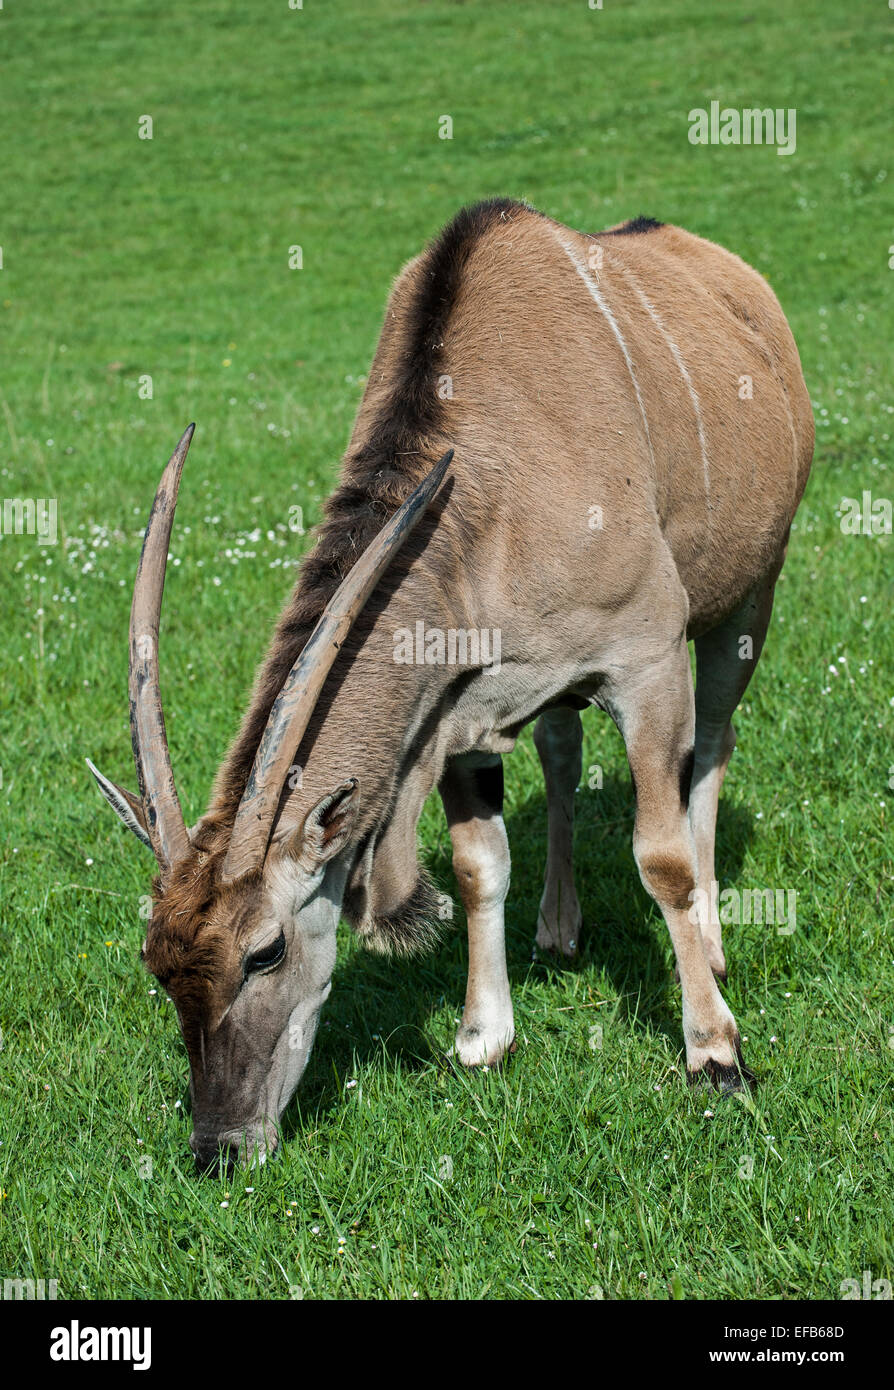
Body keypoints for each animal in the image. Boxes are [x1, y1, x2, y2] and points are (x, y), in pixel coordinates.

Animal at [88, 199, 813, 1172]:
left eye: (265, 952)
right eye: (158, 965)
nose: (220, 1147)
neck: (495, 481)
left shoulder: (647, 662)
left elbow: (660, 861)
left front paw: (716, 1053)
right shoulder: (465, 710)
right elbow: (478, 866)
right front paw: (483, 1035)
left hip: (747, 602)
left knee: (716, 746)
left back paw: (715, 945)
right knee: (561, 751)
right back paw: (558, 927)